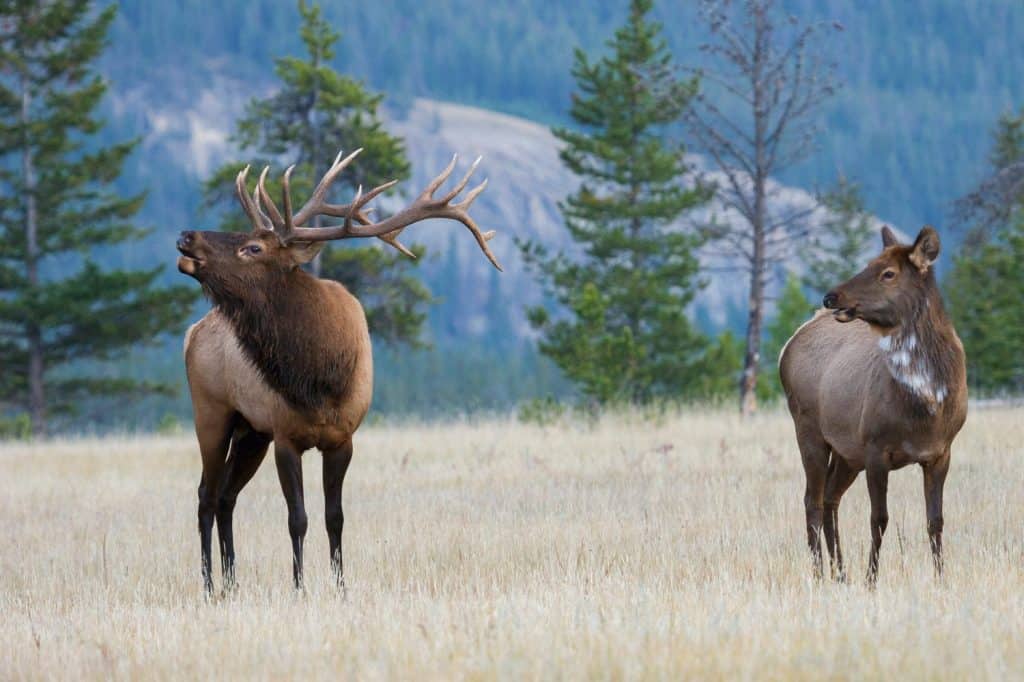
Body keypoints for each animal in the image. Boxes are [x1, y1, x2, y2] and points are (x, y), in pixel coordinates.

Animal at [176, 148, 502, 594]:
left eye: (253, 247)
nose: (185, 236)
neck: (320, 378)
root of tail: (192, 332)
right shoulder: (286, 436)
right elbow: (297, 519)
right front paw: (299, 587)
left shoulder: (342, 437)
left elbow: (336, 517)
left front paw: (340, 586)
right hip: (211, 411)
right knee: (205, 495)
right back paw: (210, 586)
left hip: (250, 430)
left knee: (225, 496)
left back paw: (231, 582)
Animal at [779, 225, 967, 584]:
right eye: (868, 263)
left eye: (888, 273)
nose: (831, 297)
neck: (926, 408)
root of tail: (790, 342)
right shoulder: (875, 448)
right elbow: (879, 519)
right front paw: (871, 580)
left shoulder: (941, 452)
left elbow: (935, 520)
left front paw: (941, 579)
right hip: (807, 427)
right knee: (812, 499)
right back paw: (820, 573)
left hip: (846, 451)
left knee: (830, 497)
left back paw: (840, 572)